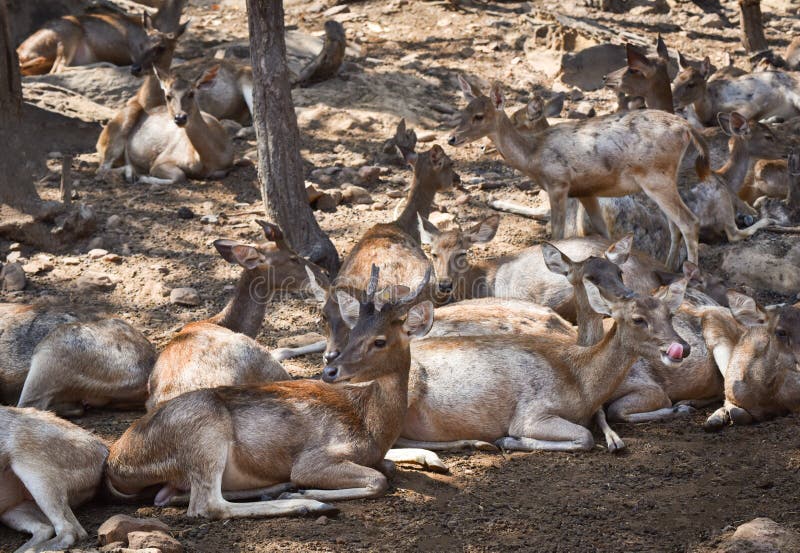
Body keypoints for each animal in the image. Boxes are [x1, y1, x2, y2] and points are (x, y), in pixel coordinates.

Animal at [16, 1, 184, 75]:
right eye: (142, 46)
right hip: (69, 33)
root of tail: (20, 53)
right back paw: (106, 64)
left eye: (162, 47)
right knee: (58, 68)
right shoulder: (134, 53)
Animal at [106, 267, 434, 518]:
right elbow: (378, 479)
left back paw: (280, 490)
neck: (371, 428)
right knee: (207, 506)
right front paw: (306, 490)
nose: (330, 370)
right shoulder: (315, 458)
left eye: (379, 341)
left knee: (169, 496)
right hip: (203, 432)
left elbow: (387, 467)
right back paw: (308, 503)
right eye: (354, 334)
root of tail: (116, 461)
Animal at [449, 77, 706, 269]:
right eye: (464, 111)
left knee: (689, 221)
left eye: (479, 116)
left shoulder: (558, 183)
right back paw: (668, 267)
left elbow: (557, 234)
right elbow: (603, 233)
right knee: (675, 225)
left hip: (655, 176)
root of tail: (687, 128)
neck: (533, 157)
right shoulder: (585, 191)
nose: (451, 138)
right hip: (664, 179)